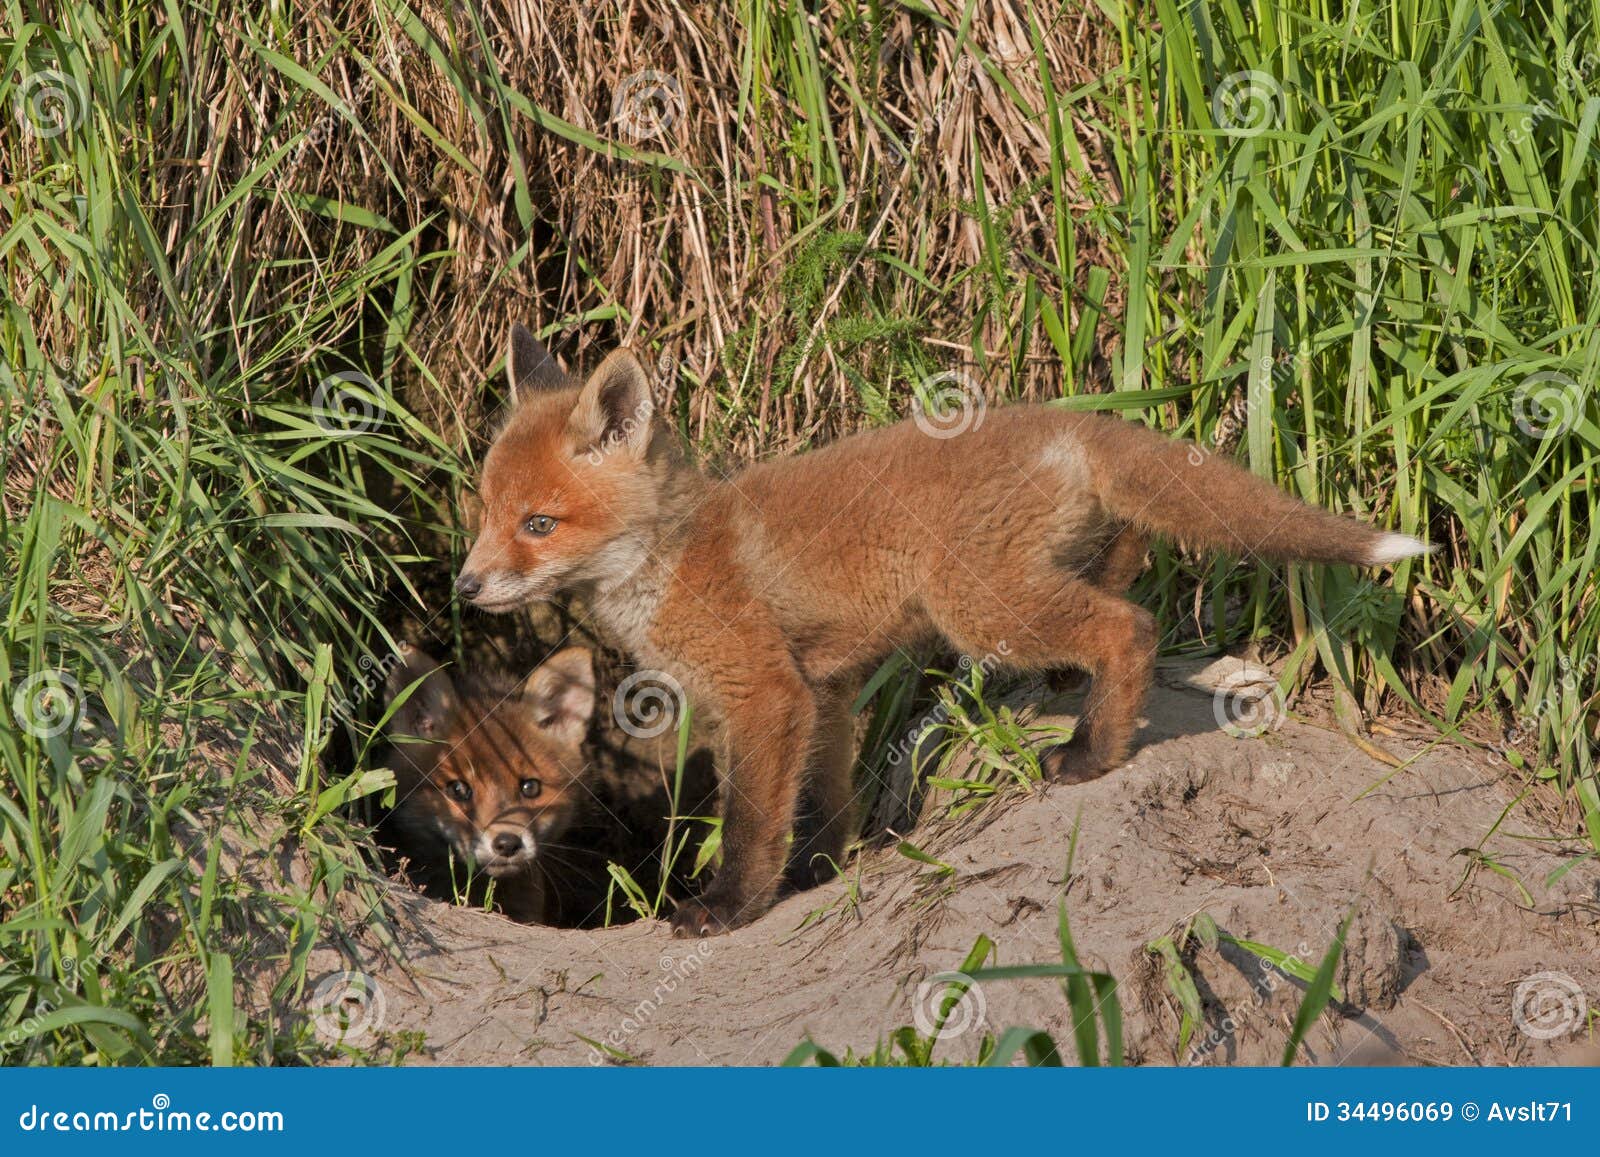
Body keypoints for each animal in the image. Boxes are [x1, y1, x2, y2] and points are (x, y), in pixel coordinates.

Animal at [458, 323, 1432, 937]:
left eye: (539, 524)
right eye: (485, 513)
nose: (466, 585)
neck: (676, 555)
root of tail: (1067, 420)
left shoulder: (767, 694)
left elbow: (751, 823)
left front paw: (729, 906)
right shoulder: (825, 691)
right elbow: (825, 802)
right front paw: (820, 872)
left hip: (982, 608)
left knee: (1129, 625)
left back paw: (1092, 752)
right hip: (1036, 575)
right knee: (1128, 564)